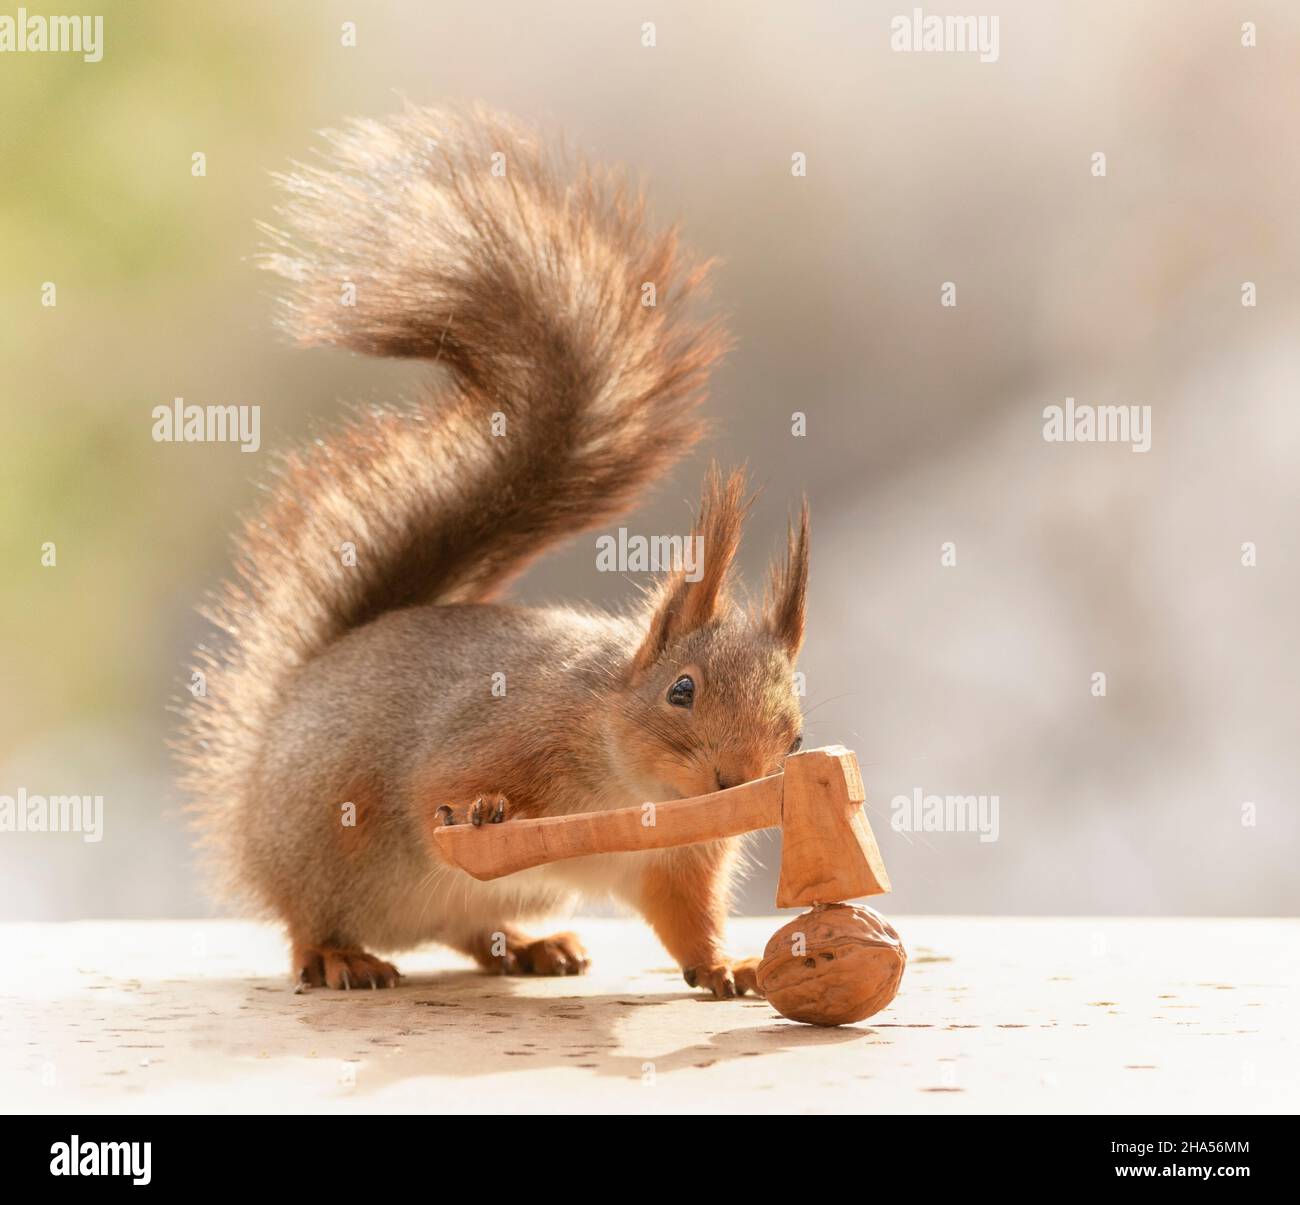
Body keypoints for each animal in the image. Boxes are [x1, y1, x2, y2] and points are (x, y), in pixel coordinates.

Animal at [179, 106, 809, 999]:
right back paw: (340, 955)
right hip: (319, 845)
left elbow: (685, 915)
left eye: (795, 736)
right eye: (680, 690)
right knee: (309, 920)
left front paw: (726, 963)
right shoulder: (502, 726)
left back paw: (533, 946)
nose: (735, 783)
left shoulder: (676, 857)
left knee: (472, 930)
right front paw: (482, 812)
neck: (629, 785)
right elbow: (432, 786)